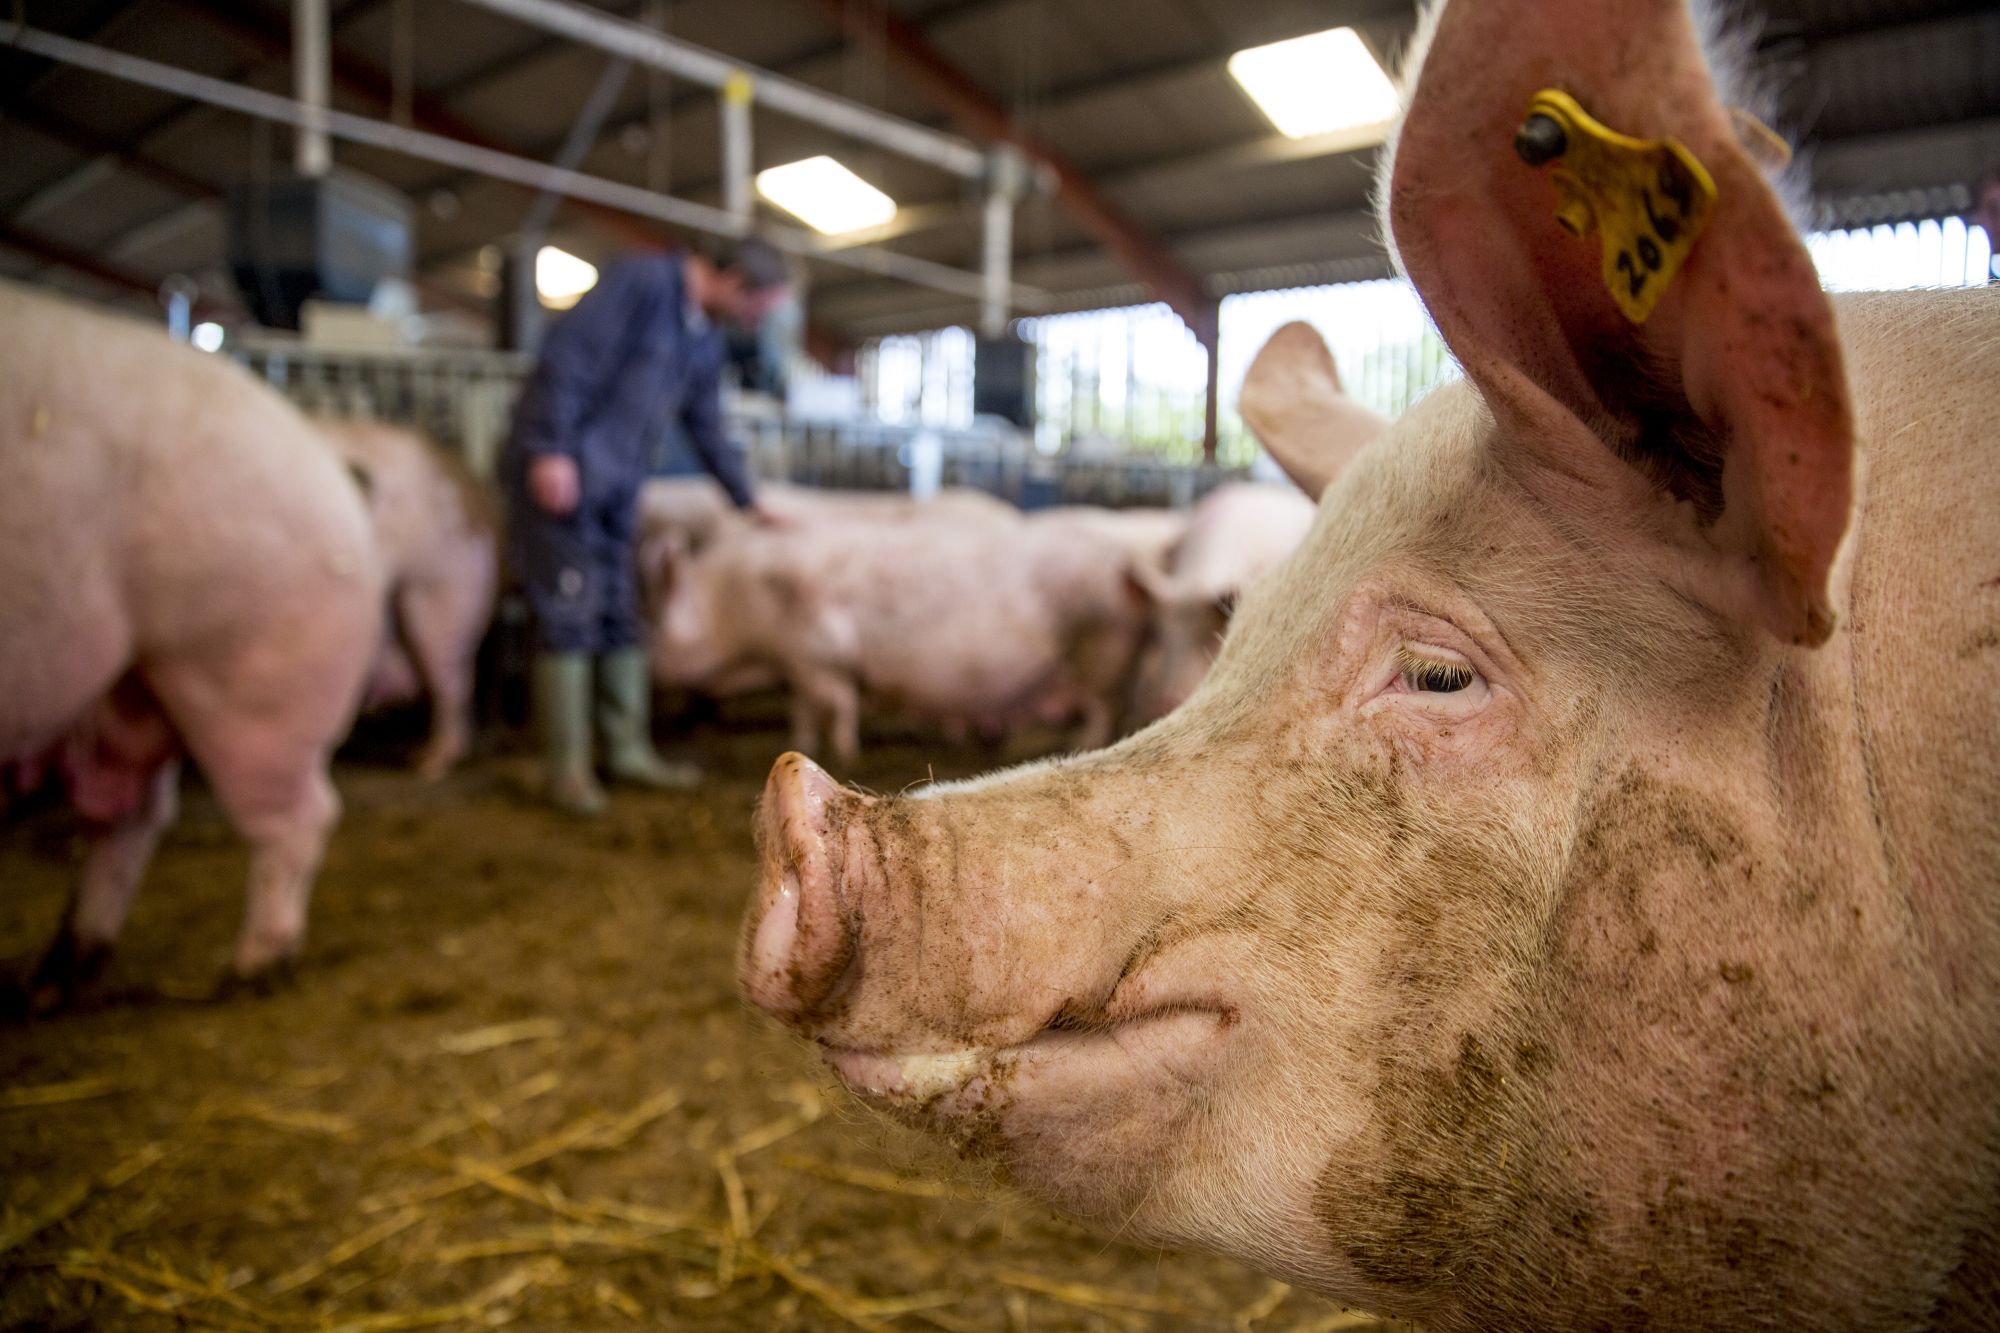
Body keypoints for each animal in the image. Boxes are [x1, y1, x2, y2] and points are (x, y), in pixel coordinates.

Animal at [1, 282, 384, 1009]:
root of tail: (329, 463)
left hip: (246, 678)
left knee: (296, 816)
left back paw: (250, 972)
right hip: (133, 685)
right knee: (133, 818)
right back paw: (54, 982)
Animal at [653, 512, 1147, 761]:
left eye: (661, 620)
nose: (653, 675)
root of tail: (1121, 563)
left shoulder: (816, 654)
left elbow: (837, 703)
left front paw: (844, 752)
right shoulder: (797, 666)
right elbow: (804, 709)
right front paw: (803, 744)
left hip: (1099, 650)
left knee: (1103, 708)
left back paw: (1081, 746)